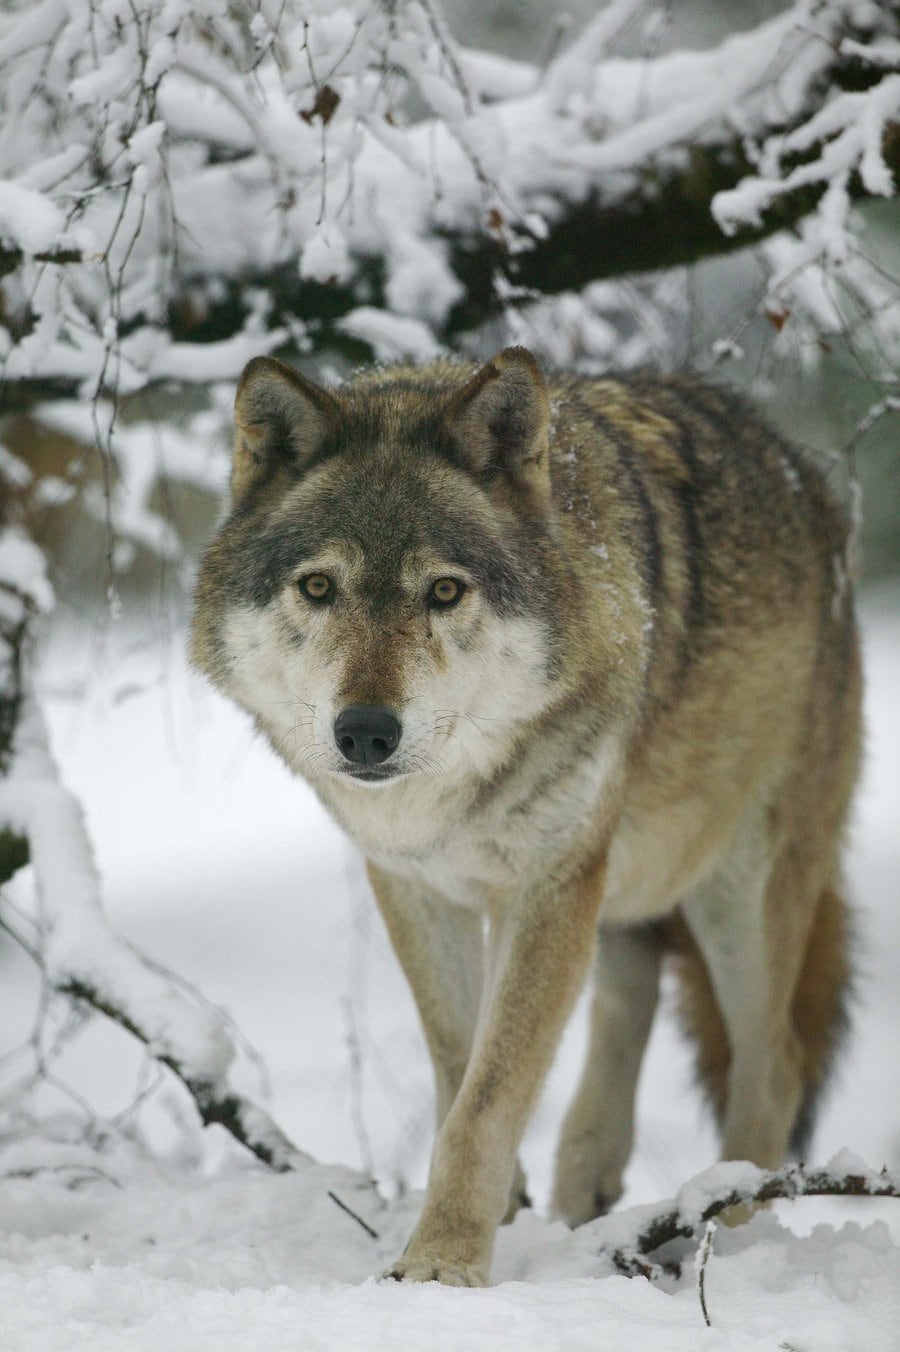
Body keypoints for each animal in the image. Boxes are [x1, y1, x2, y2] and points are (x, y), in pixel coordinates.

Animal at [192, 347, 861, 1286]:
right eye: (318, 586)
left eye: (444, 591)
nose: (365, 733)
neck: (452, 799)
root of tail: (802, 470)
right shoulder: (415, 884)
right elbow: (456, 1060)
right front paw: (498, 1209)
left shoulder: (547, 887)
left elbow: (488, 1095)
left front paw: (442, 1263)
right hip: (625, 886)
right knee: (631, 994)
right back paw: (589, 1188)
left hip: (733, 896)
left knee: (776, 1070)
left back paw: (724, 1221)